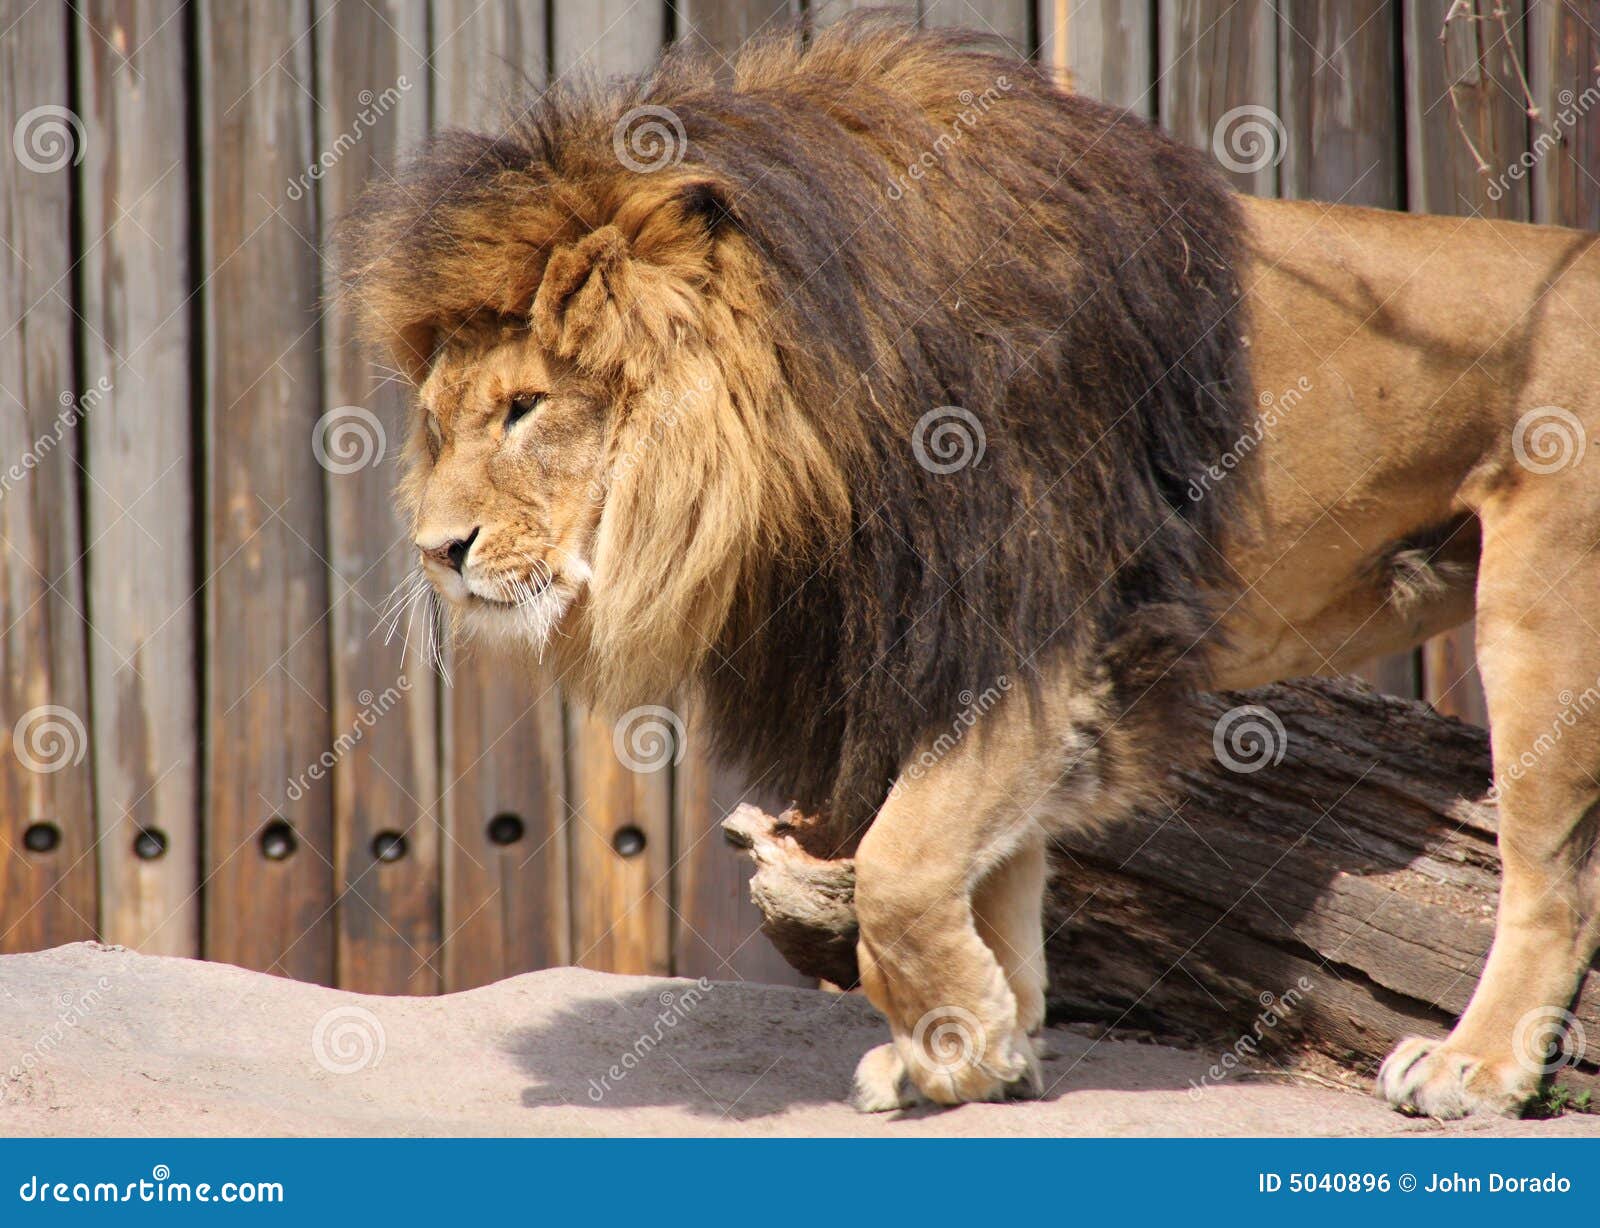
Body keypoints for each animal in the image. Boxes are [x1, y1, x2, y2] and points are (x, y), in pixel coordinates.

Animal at [340, 14, 1600, 1118]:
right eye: (439, 422)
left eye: (524, 407)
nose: (435, 552)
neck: (810, 428)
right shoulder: (962, 644)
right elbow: (992, 877)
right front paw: (981, 1045)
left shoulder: (1036, 626)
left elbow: (899, 866)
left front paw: (956, 1048)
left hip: (1541, 608)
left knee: (1552, 881)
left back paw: (1473, 1069)